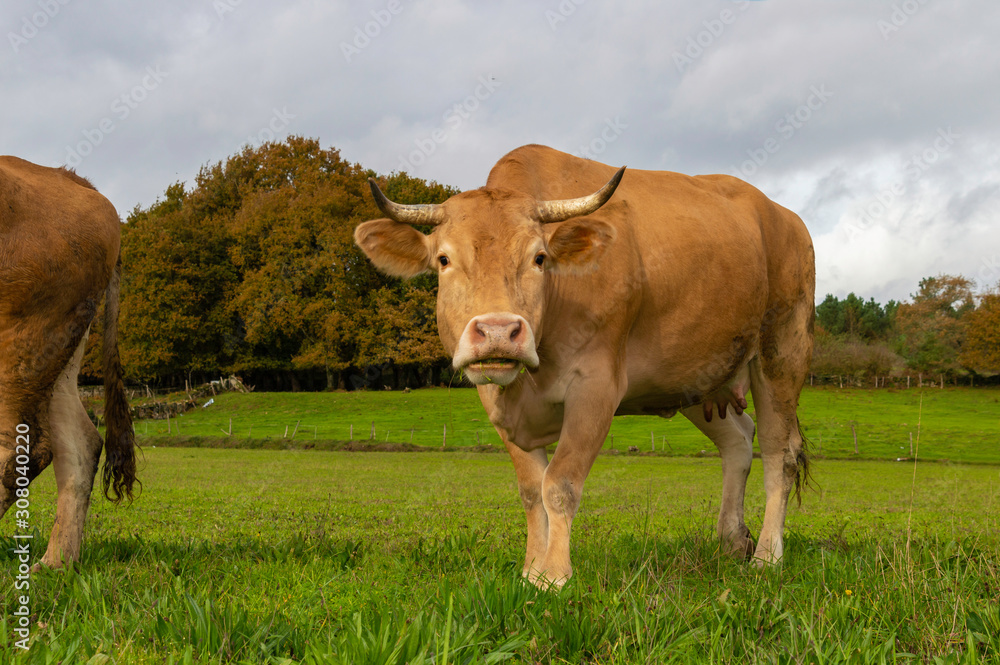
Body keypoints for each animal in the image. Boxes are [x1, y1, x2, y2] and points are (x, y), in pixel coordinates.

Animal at [1, 156, 138, 569]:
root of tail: (71, 179)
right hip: (59, 346)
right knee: (81, 444)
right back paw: (57, 561)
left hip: (25, 333)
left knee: (22, 449)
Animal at [355, 144, 814, 587]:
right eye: (444, 260)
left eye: (539, 258)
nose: (499, 331)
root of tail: (782, 215)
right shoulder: (498, 401)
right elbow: (530, 490)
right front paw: (530, 570)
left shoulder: (596, 386)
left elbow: (559, 484)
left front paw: (554, 577)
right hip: (696, 376)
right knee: (738, 441)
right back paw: (733, 540)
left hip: (782, 350)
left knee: (780, 454)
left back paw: (767, 557)